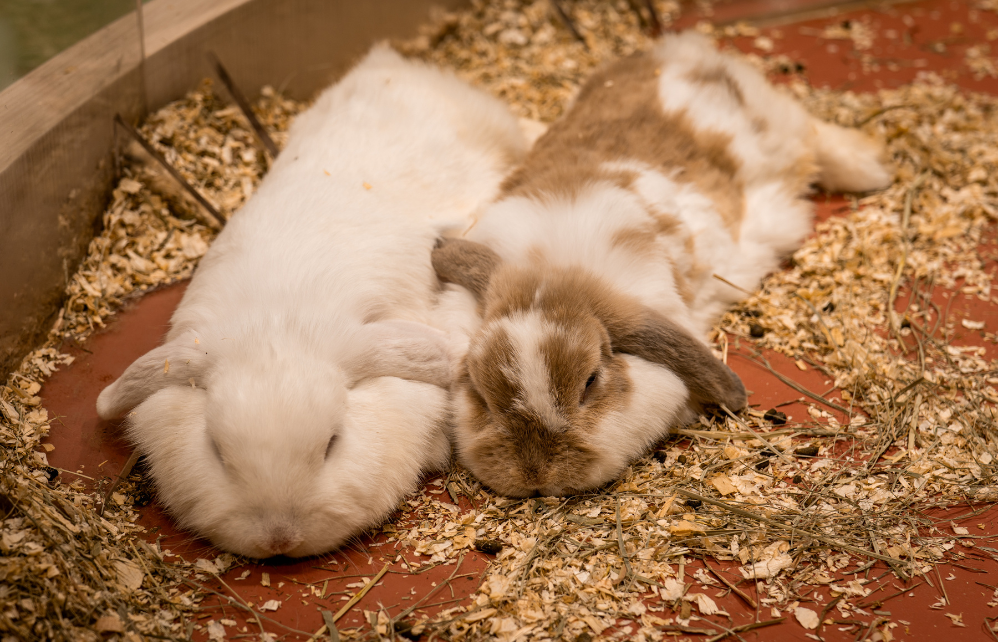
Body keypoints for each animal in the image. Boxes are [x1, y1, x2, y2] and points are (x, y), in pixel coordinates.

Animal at [431, 31, 892, 498]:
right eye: (481, 394)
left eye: (591, 381)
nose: (537, 475)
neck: (556, 271)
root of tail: (682, 52)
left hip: (781, 127)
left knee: (817, 137)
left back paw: (874, 171)